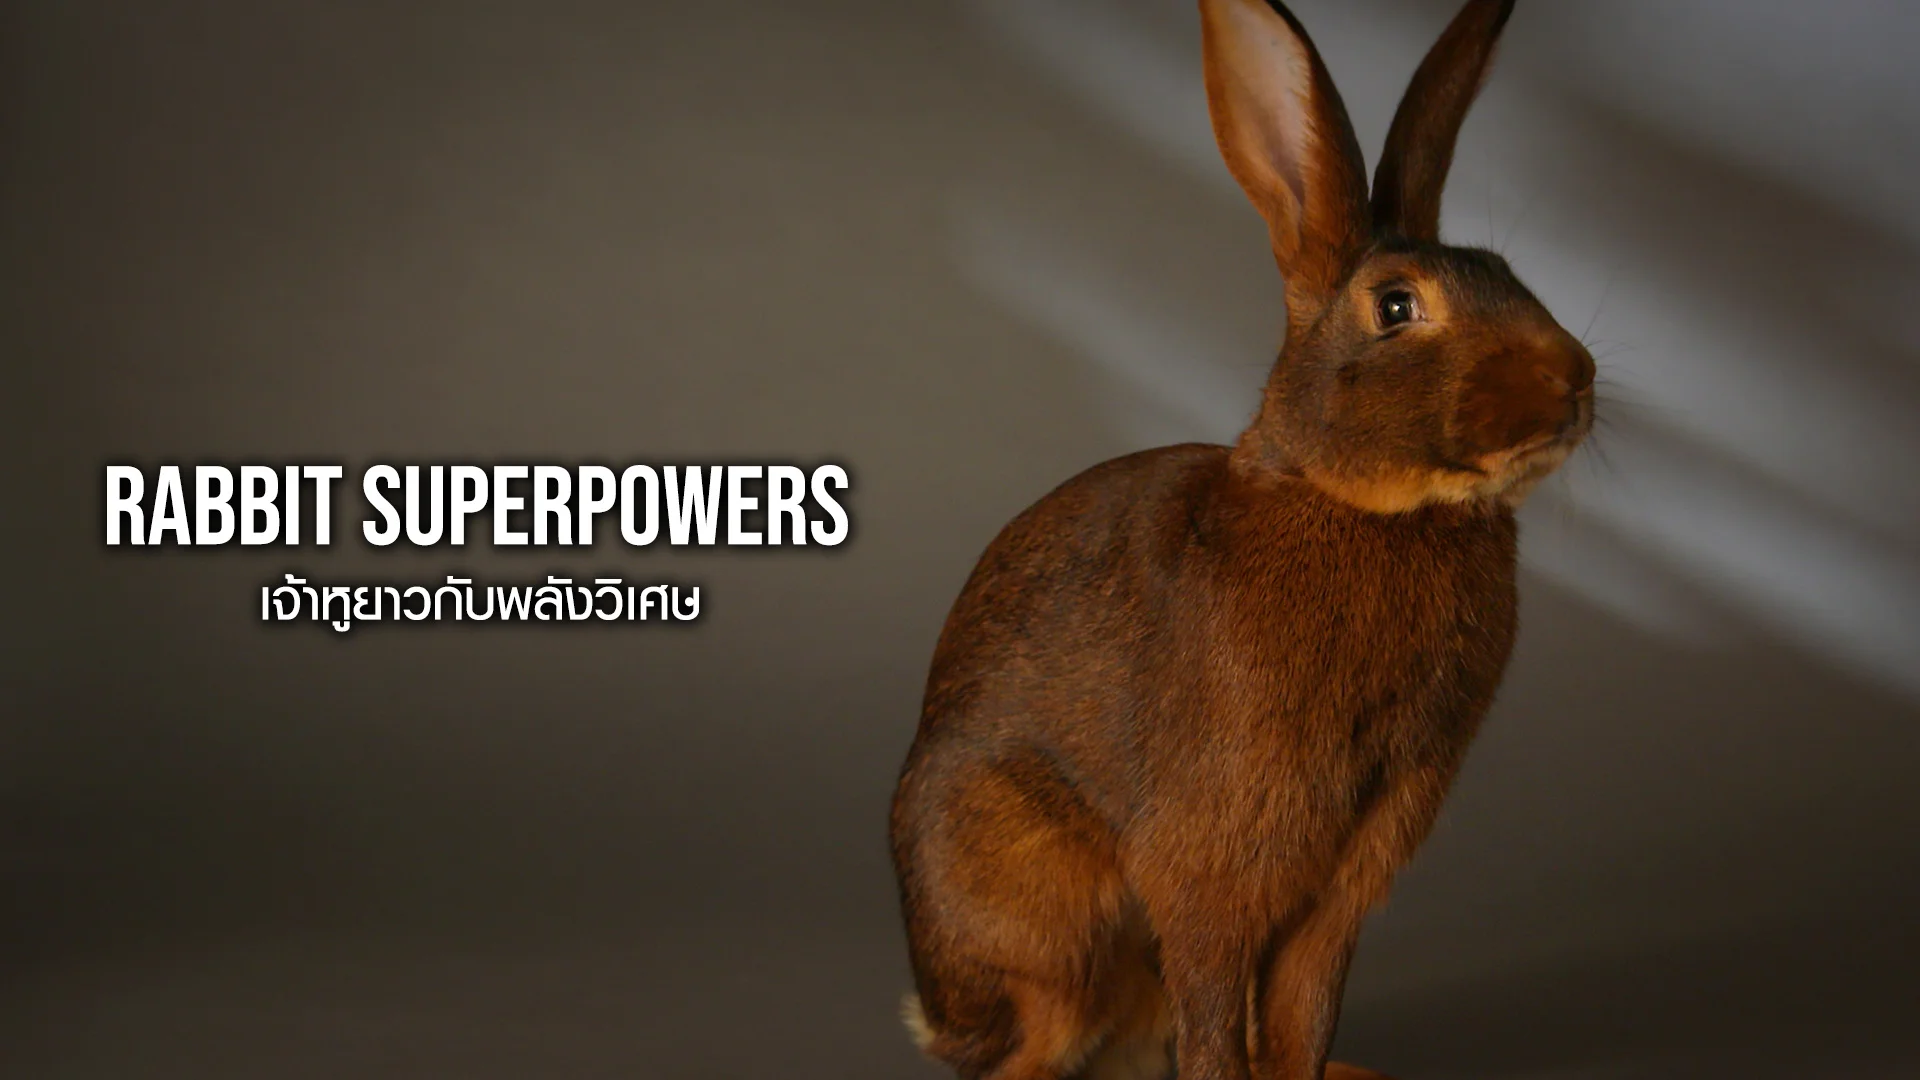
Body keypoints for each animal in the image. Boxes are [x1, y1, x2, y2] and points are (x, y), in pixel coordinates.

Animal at [890, 1, 1592, 1079]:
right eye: (1397, 306)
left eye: (1514, 276)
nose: (1575, 380)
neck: (1358, 503)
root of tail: (941, 1008)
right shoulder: (1216, 869)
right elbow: (1220, 1009)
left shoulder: (1342, 887)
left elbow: (1303, 1009)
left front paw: (1310, 1068)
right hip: (1041, 918)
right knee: (1036, 1044)